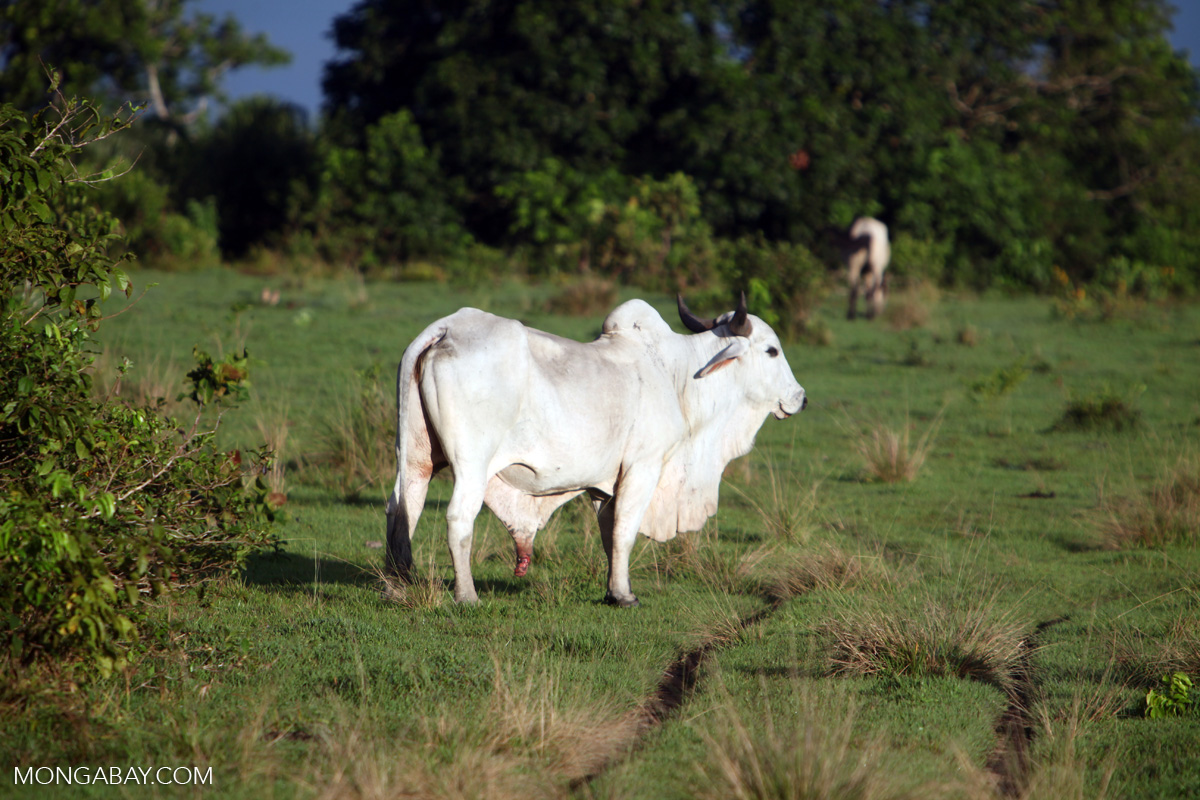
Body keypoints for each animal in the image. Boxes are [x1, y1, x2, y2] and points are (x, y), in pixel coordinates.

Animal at [384, 294, 807, 607]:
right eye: (771, 351)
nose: (800, 398)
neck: (676, 375)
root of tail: (446, 329)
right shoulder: (642, 467)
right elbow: (625, 532)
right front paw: (624, 596)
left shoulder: (607, 485)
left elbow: (609, 535)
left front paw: (612, 590)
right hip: (472, 464)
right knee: (458, 518)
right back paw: (467, 595)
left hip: (416, 457)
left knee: (402, 509)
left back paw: (396, 585)